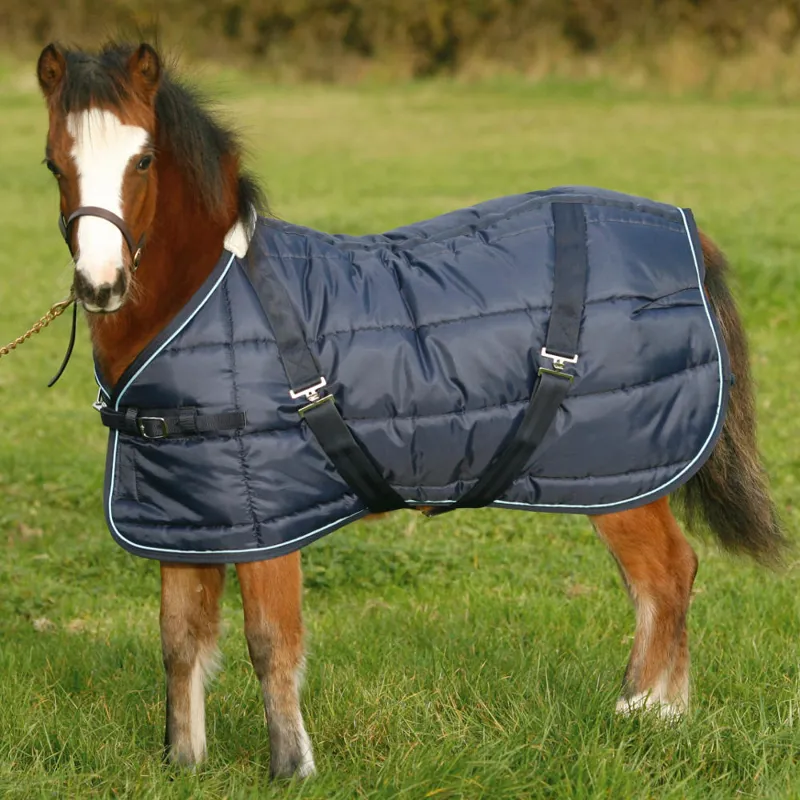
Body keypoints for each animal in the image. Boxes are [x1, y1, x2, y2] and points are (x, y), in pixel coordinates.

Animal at [35, 40, 784, 779]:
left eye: (143, 159)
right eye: (53, 163)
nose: (100, 284)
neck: (212, 296)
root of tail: (689, 238)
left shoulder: (267, 523)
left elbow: (270, 642)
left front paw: (292, 769)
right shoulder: (191, 519)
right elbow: (181, 642)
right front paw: (184, 764)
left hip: (620, 479)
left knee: (666, 575)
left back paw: (648, 714)